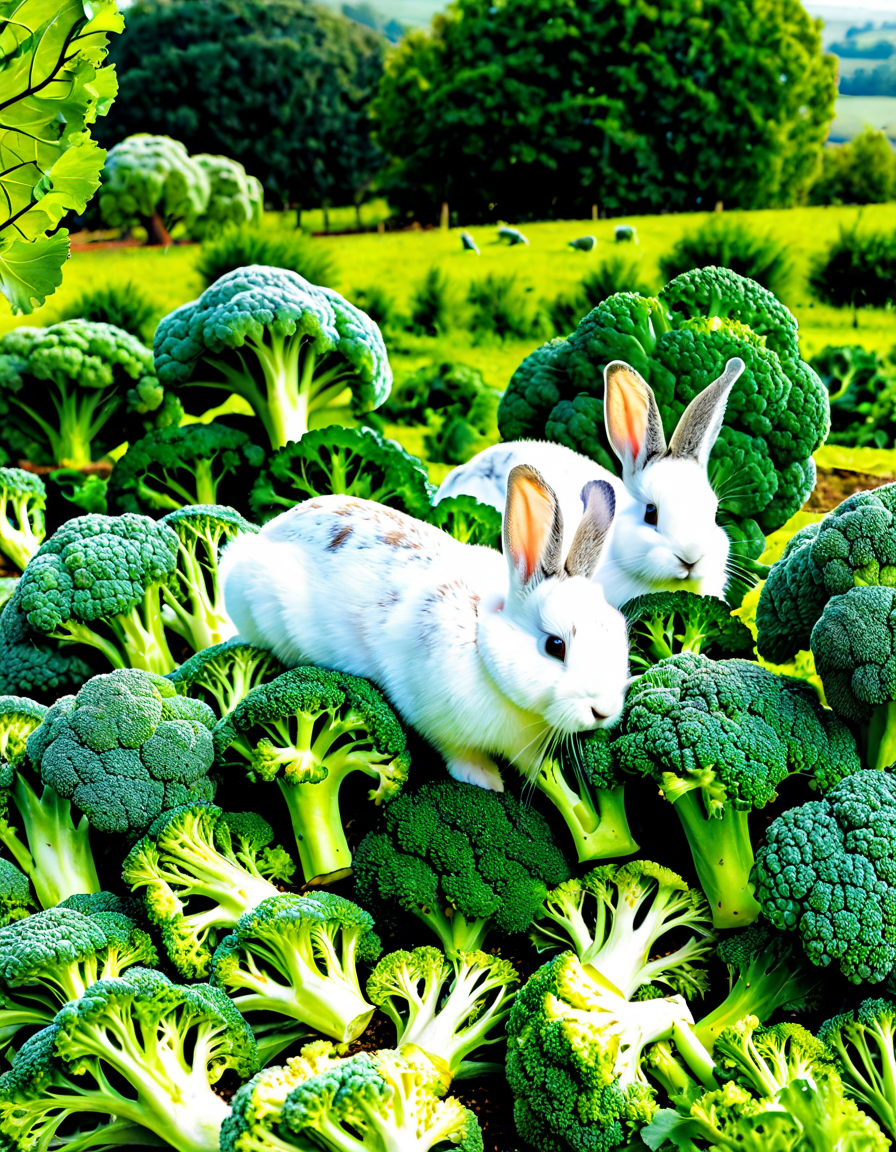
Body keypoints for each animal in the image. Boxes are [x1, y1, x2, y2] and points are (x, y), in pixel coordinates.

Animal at [220, 465, 629, 793]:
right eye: (555, 645)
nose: (604, 711)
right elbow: (459, 753)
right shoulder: (434, 716)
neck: (481, 639)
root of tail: (257, 540)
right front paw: (486, 779)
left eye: (619, 631)